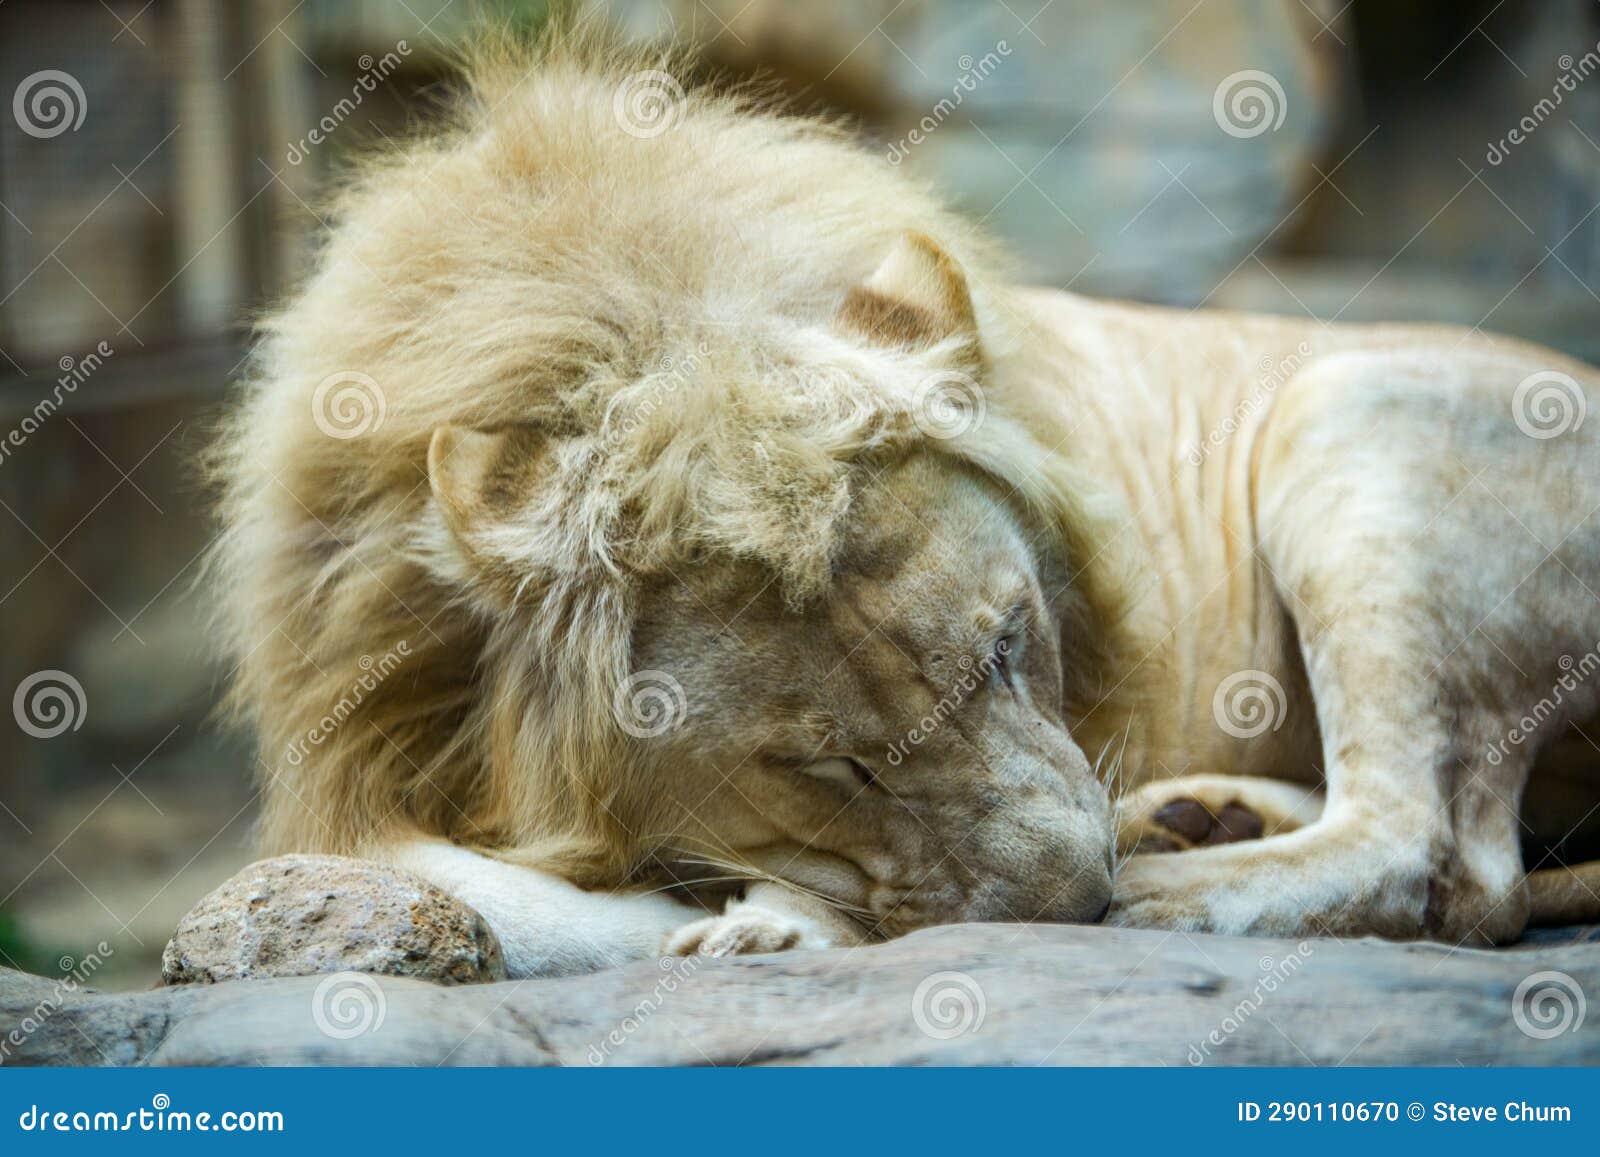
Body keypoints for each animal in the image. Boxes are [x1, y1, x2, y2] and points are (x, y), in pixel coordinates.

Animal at [211, 26, 1600, 977]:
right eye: (829, 764)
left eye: (1009, 643)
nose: (1077, 900)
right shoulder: (344, 766)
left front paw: (770, 921)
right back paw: (1188, 820)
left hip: (1343, 404)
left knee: (1439, 854)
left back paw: (1163, 875)